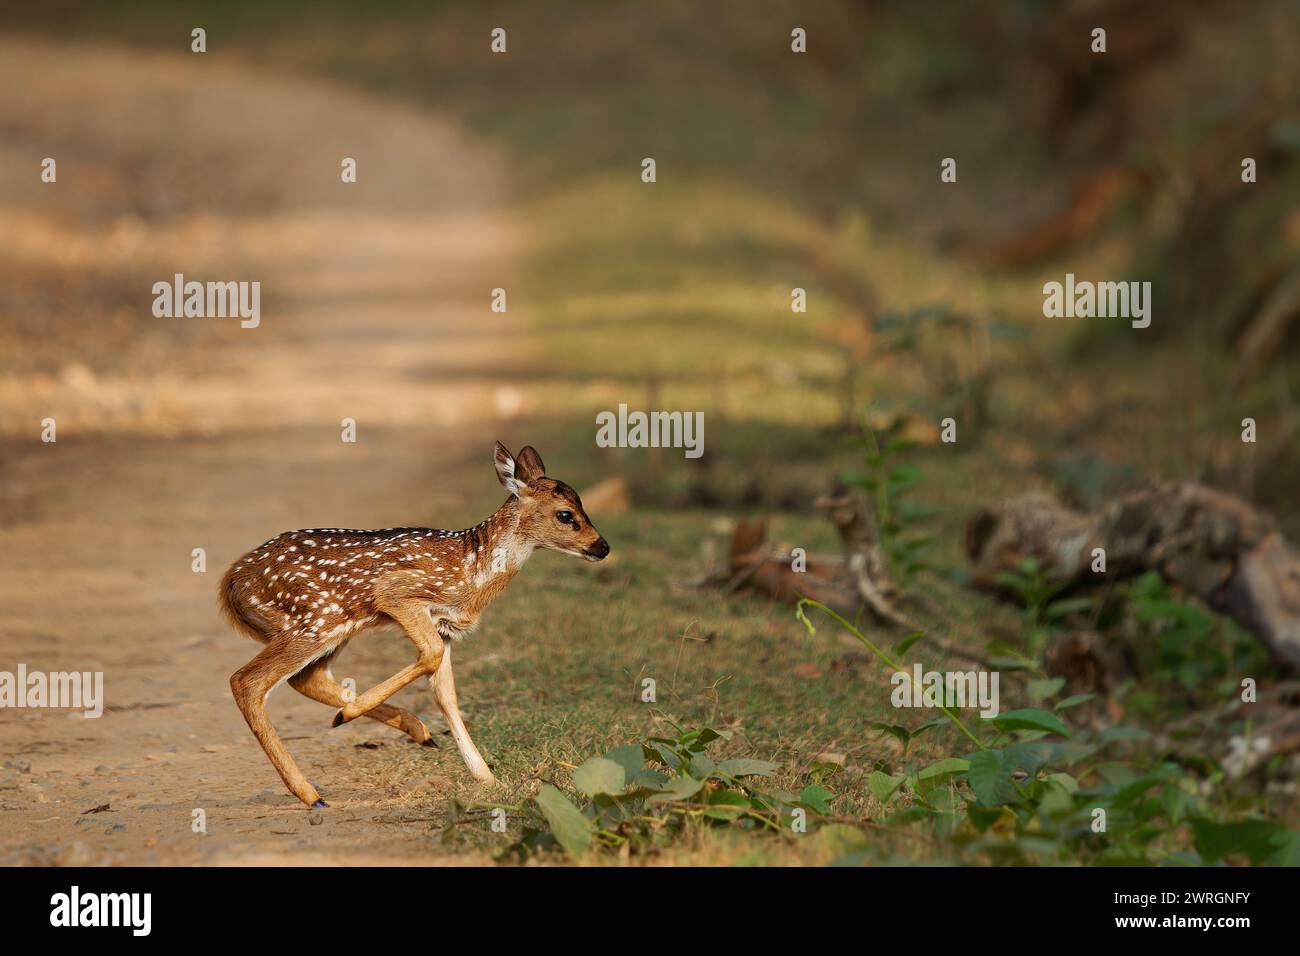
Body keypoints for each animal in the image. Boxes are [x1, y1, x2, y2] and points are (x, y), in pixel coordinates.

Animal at [218, 442, 610, 808]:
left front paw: (488, 779)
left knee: (305, 679)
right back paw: (311, 791)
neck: (471, 570)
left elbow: (445, 692)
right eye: (566, 514)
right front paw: (350, 714)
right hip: (312, 620)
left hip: (333, 626)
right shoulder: (397, 595)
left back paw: (415, 732)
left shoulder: (446, 626)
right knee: (247, 680)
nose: (602, 546)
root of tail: (231, 582)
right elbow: (431, 656)